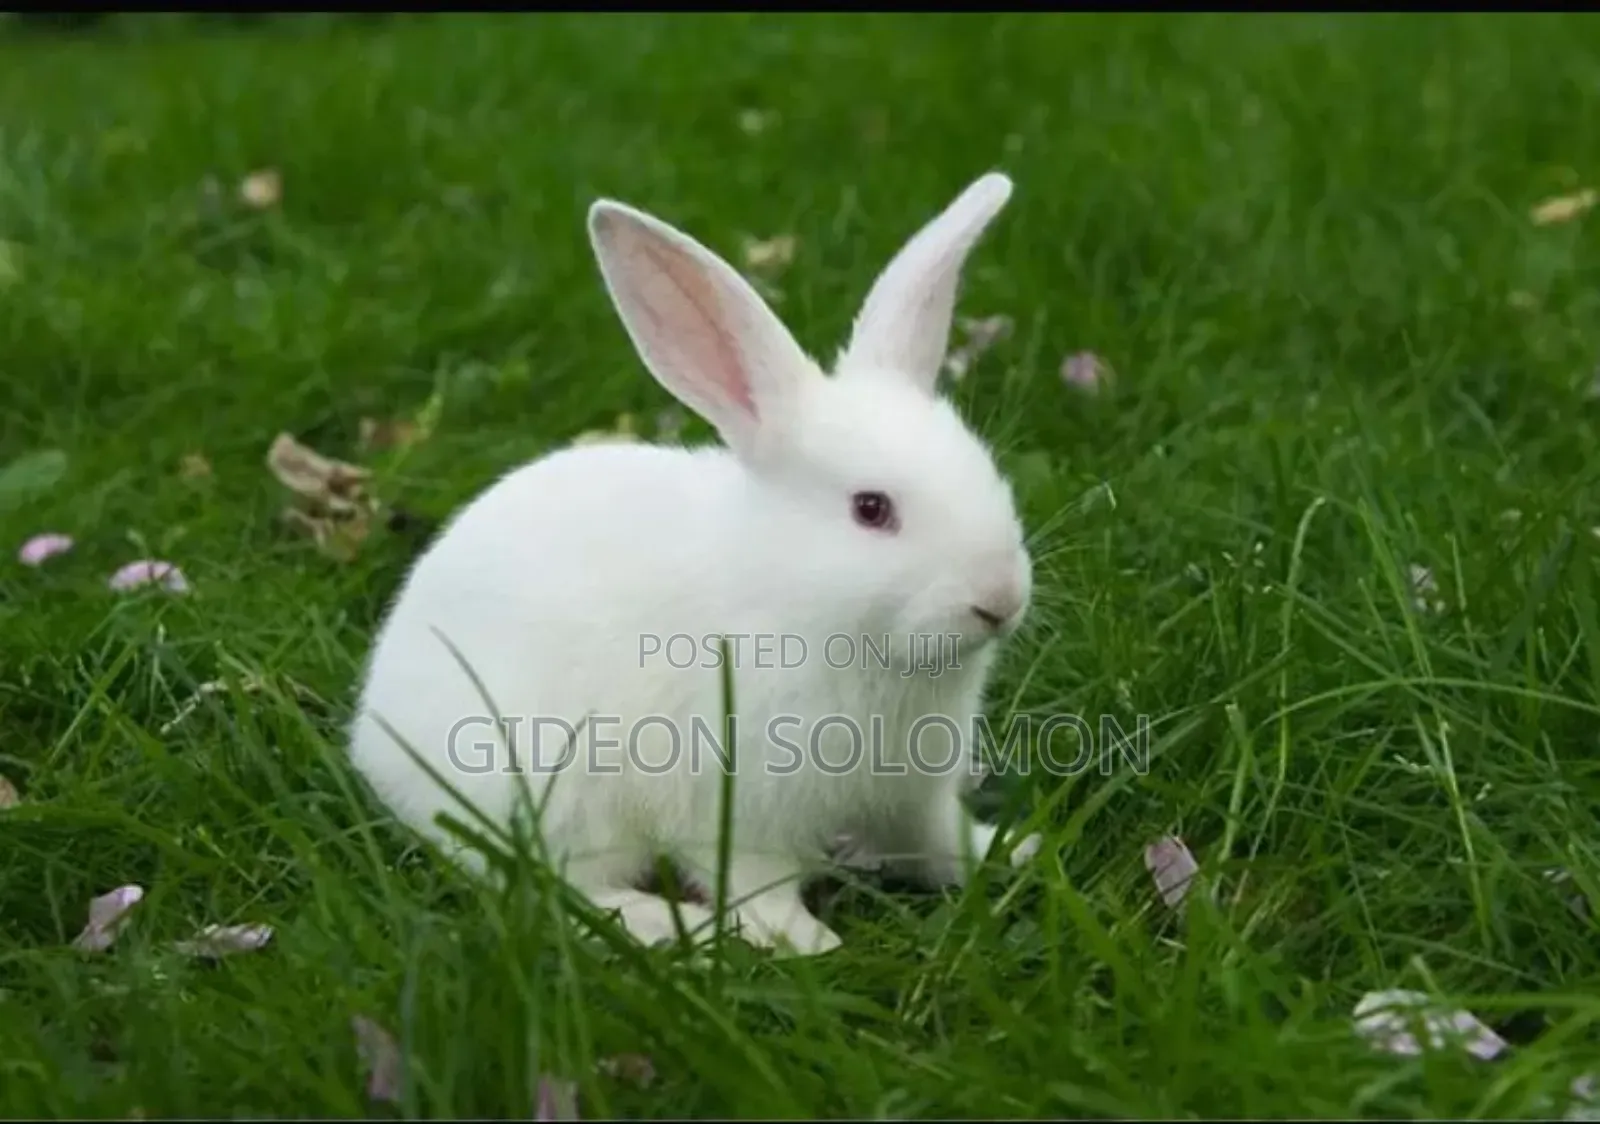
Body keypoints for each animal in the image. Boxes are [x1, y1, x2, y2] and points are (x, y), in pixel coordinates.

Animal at [347, 170, 1041, 956]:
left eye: (989, 471)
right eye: (871, 509)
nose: (1001, 598)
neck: (796, 601)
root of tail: (373, 738)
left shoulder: (912, 795)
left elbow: (938, 842)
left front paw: (1012, 852)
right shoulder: (739, 809)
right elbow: (756, 884)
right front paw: (806, 942)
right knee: (550, 887)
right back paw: (660, 924)